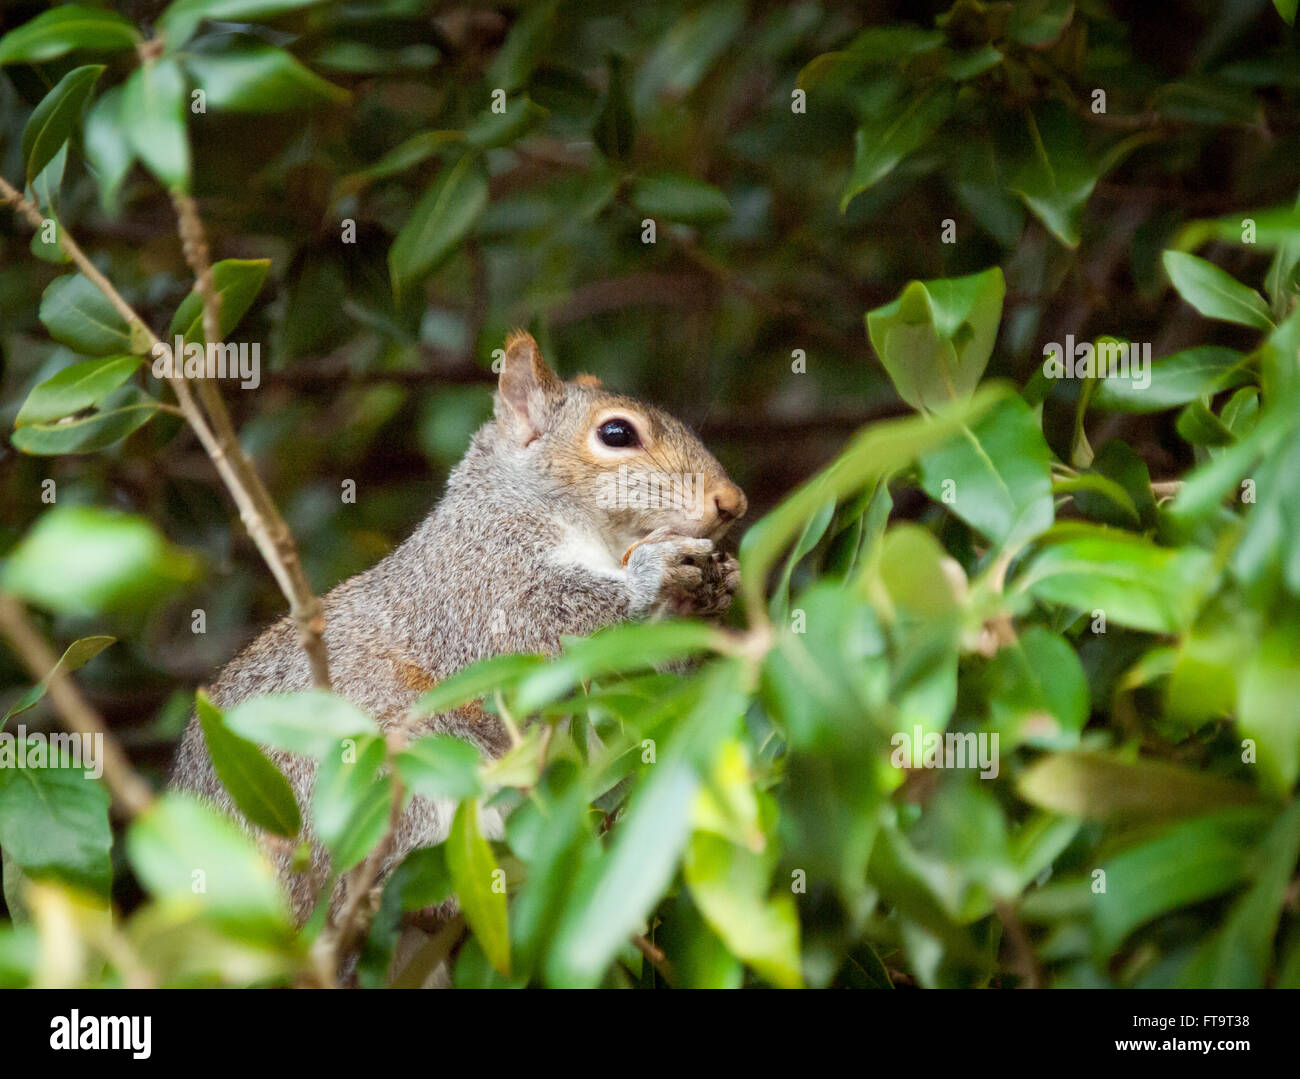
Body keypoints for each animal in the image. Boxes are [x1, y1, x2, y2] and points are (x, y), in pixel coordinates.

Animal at [169, 331, 747, 921]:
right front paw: (654, 571)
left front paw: (711, 594)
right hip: (386, 768)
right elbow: (537, 624)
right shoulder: (477, 583)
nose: (734, 503)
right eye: (616, 433)